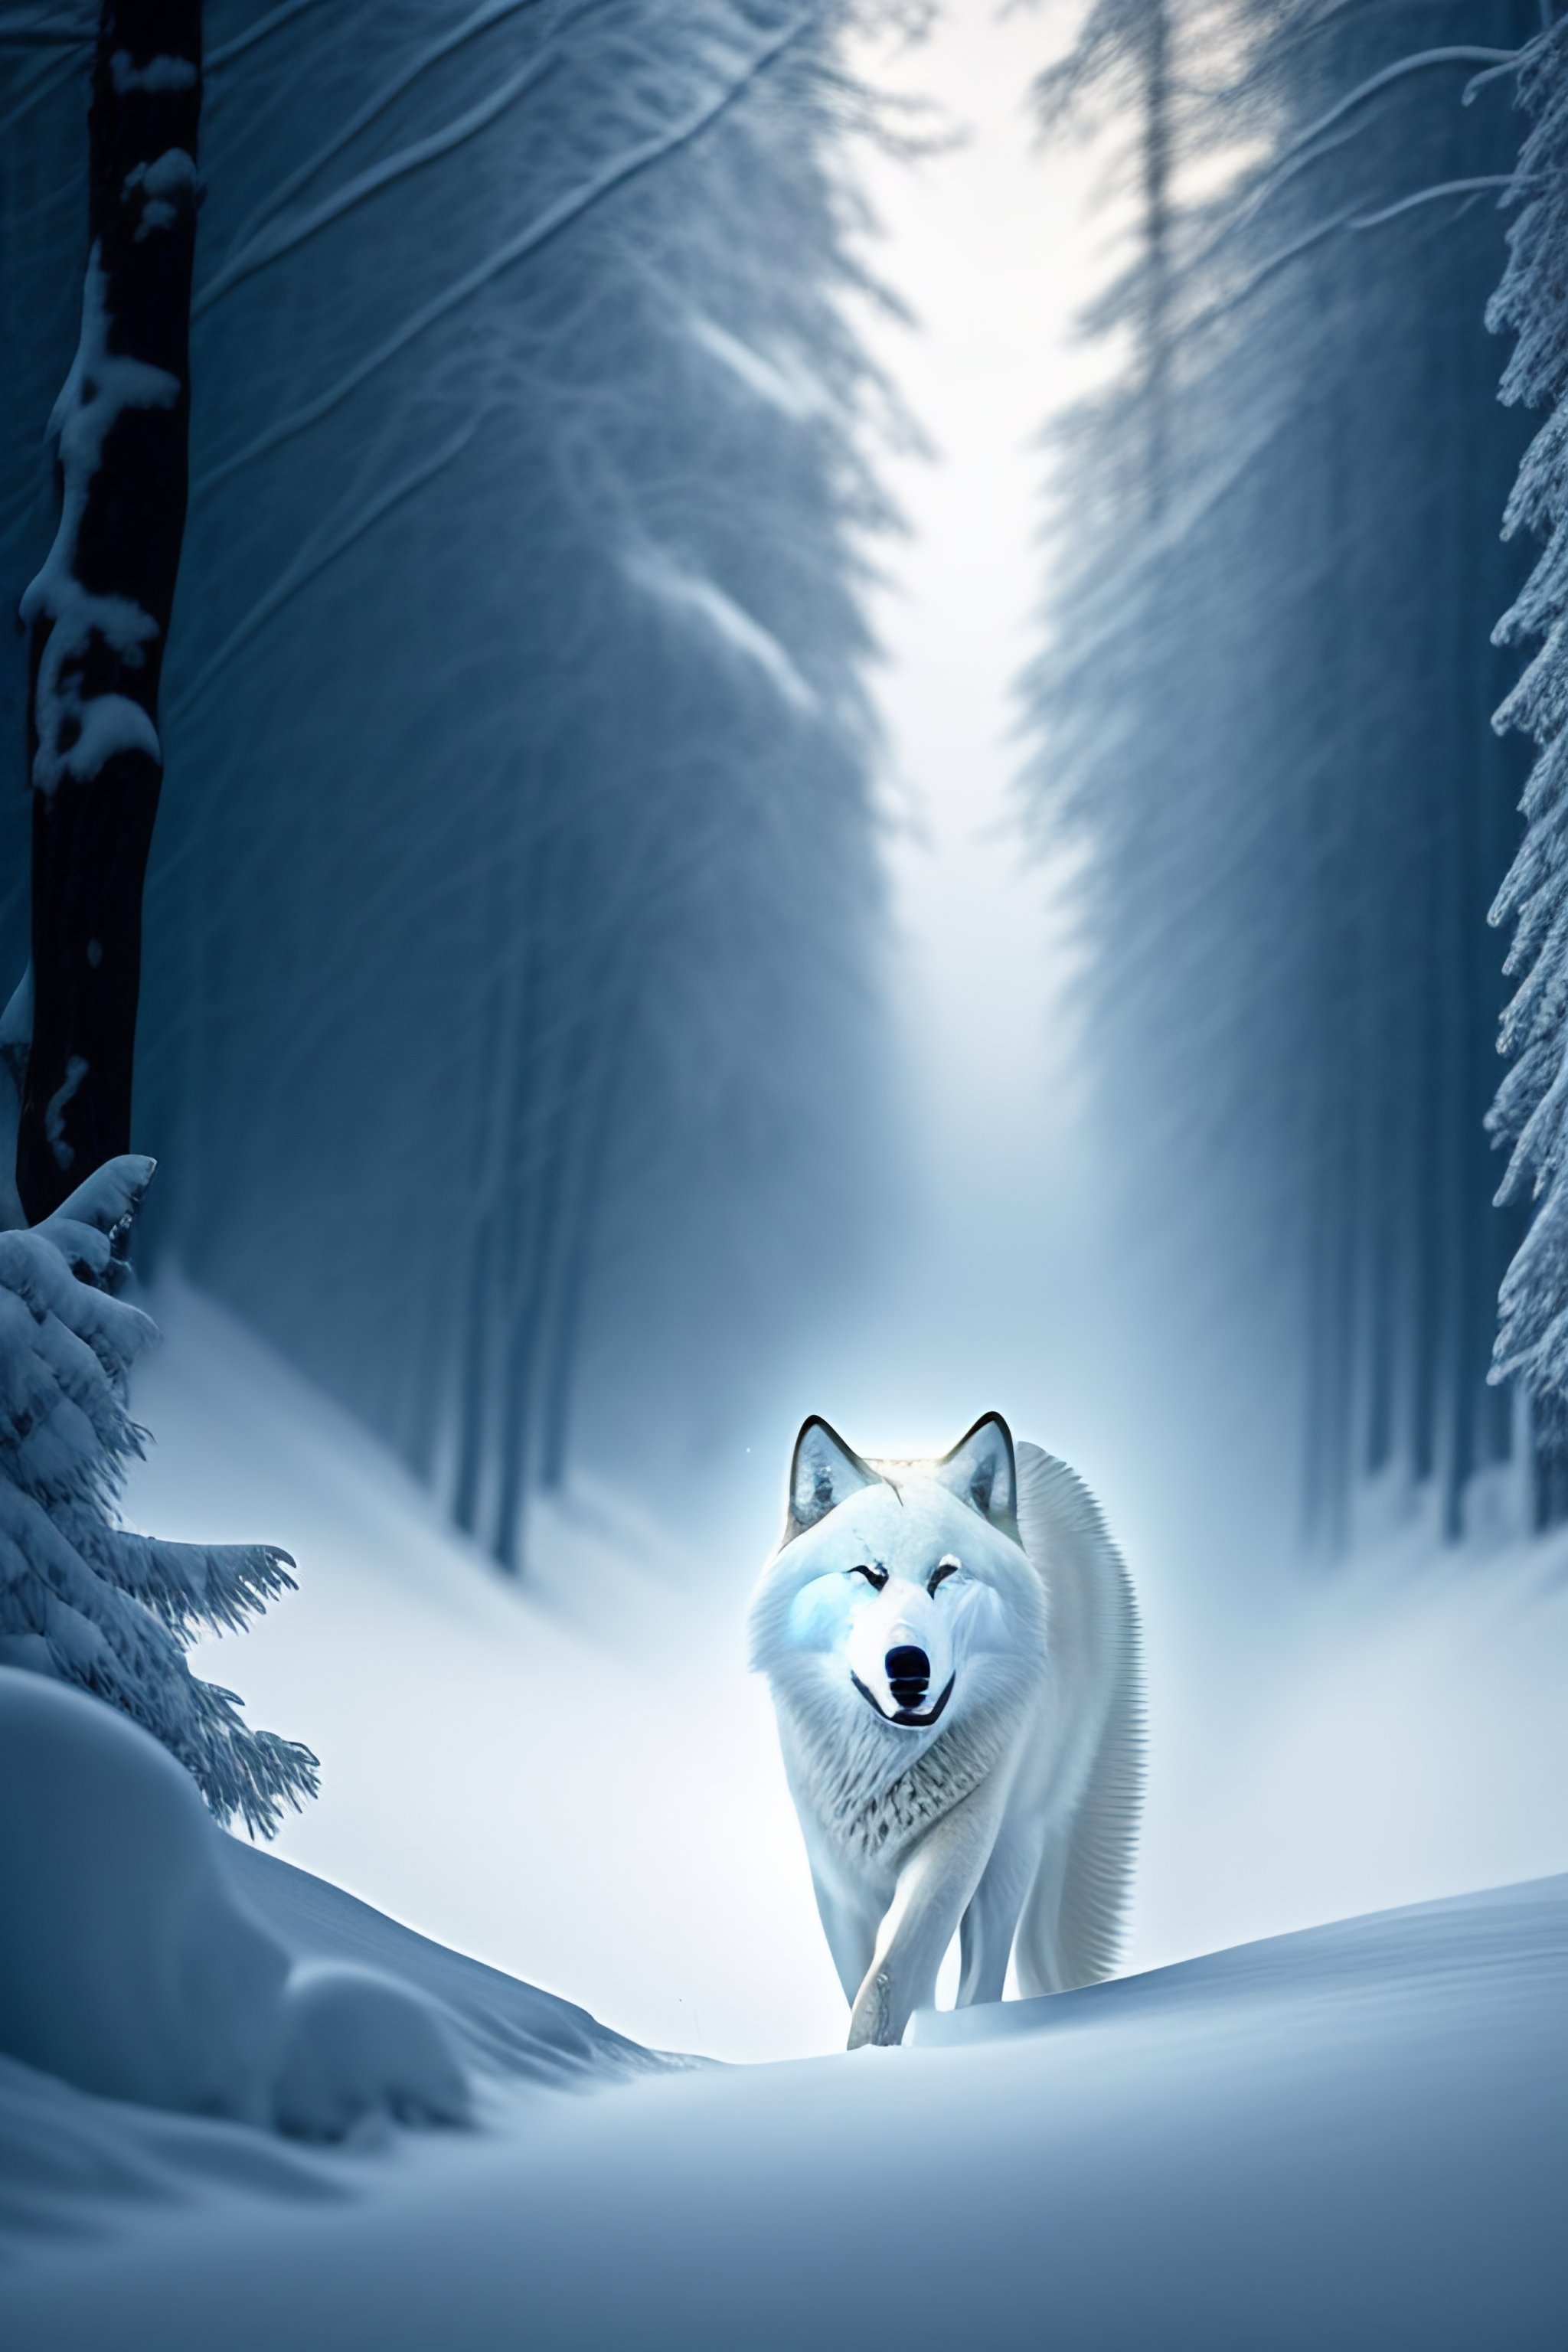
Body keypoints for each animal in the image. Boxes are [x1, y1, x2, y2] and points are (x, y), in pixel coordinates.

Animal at [749, 1412, 1142, 2048]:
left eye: (945, 1574)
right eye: (869, 1574)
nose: (910, 1668)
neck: (884, 1773)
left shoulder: (959, 1842)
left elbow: (891, 1979)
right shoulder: (836, 1873)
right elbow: (867, 1978)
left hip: (1017, 1841)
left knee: (985, 1973)